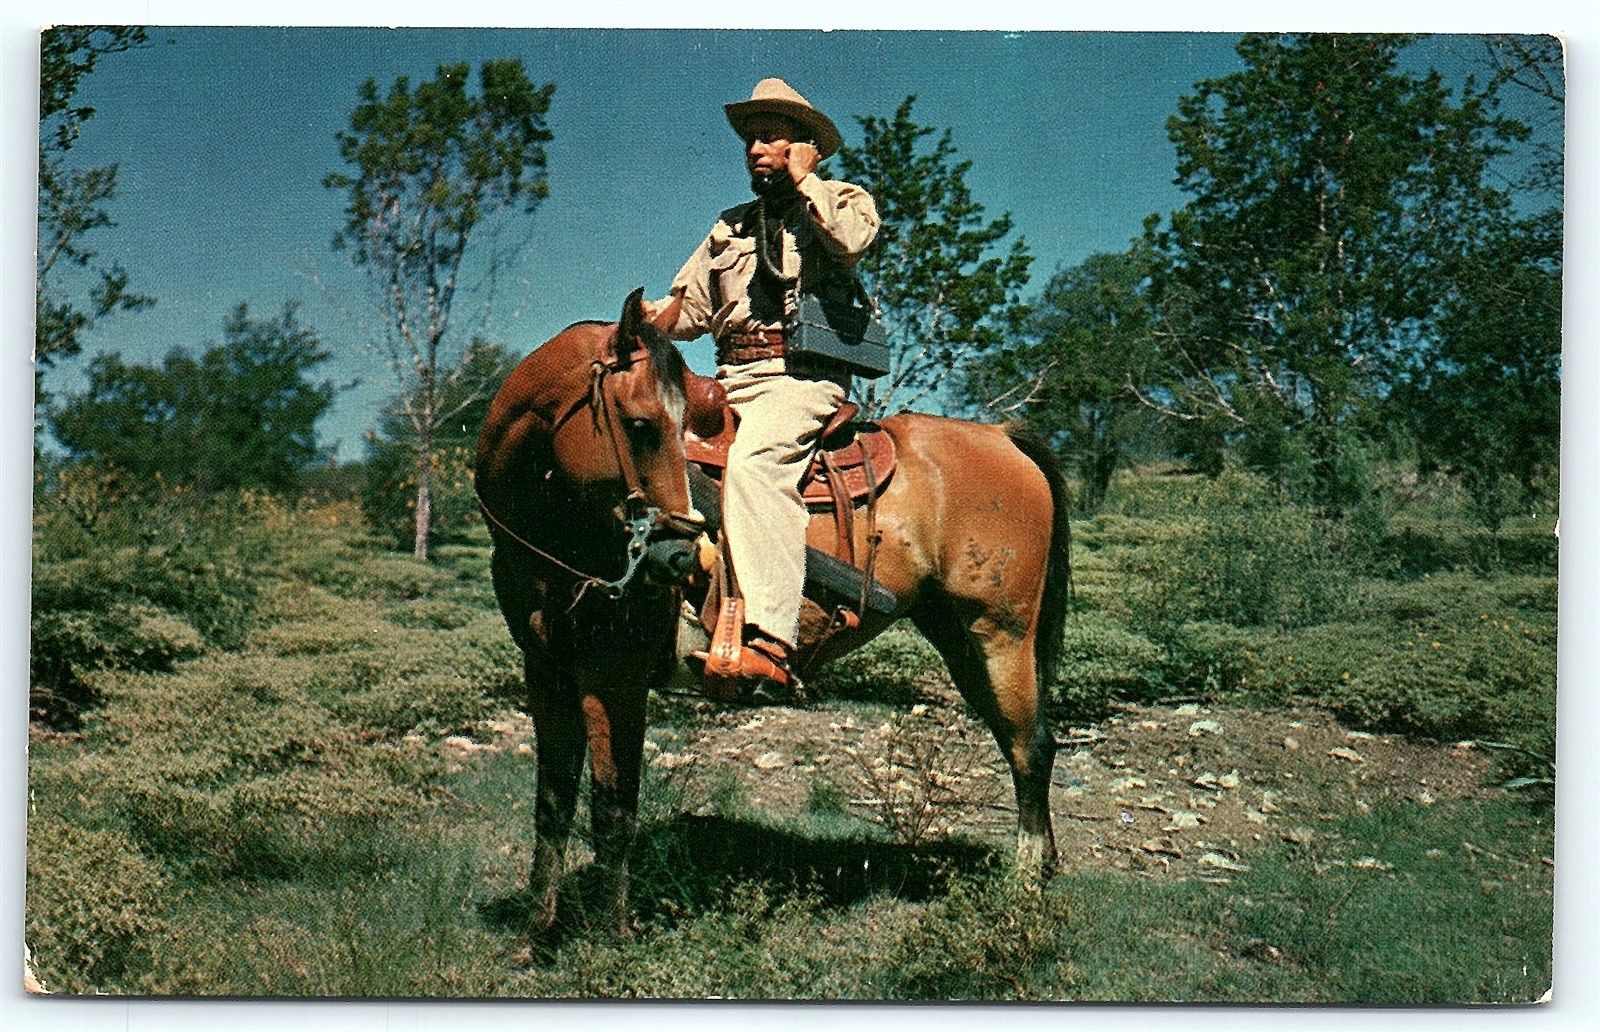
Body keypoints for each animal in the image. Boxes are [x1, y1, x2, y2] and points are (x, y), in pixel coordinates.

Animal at [476, 289, 1071, 935]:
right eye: (638, 424)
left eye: (671, 424)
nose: (681, 553)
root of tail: (1004, 436)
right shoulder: (548, 673)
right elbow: (552, 803)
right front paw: (536, 932)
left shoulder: (615, 679)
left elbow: (613, 812)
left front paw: (609, 938)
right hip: (960, 637)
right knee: (1021, 743)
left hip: (1002, 634)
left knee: (1031, 748)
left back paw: (1023, 890)